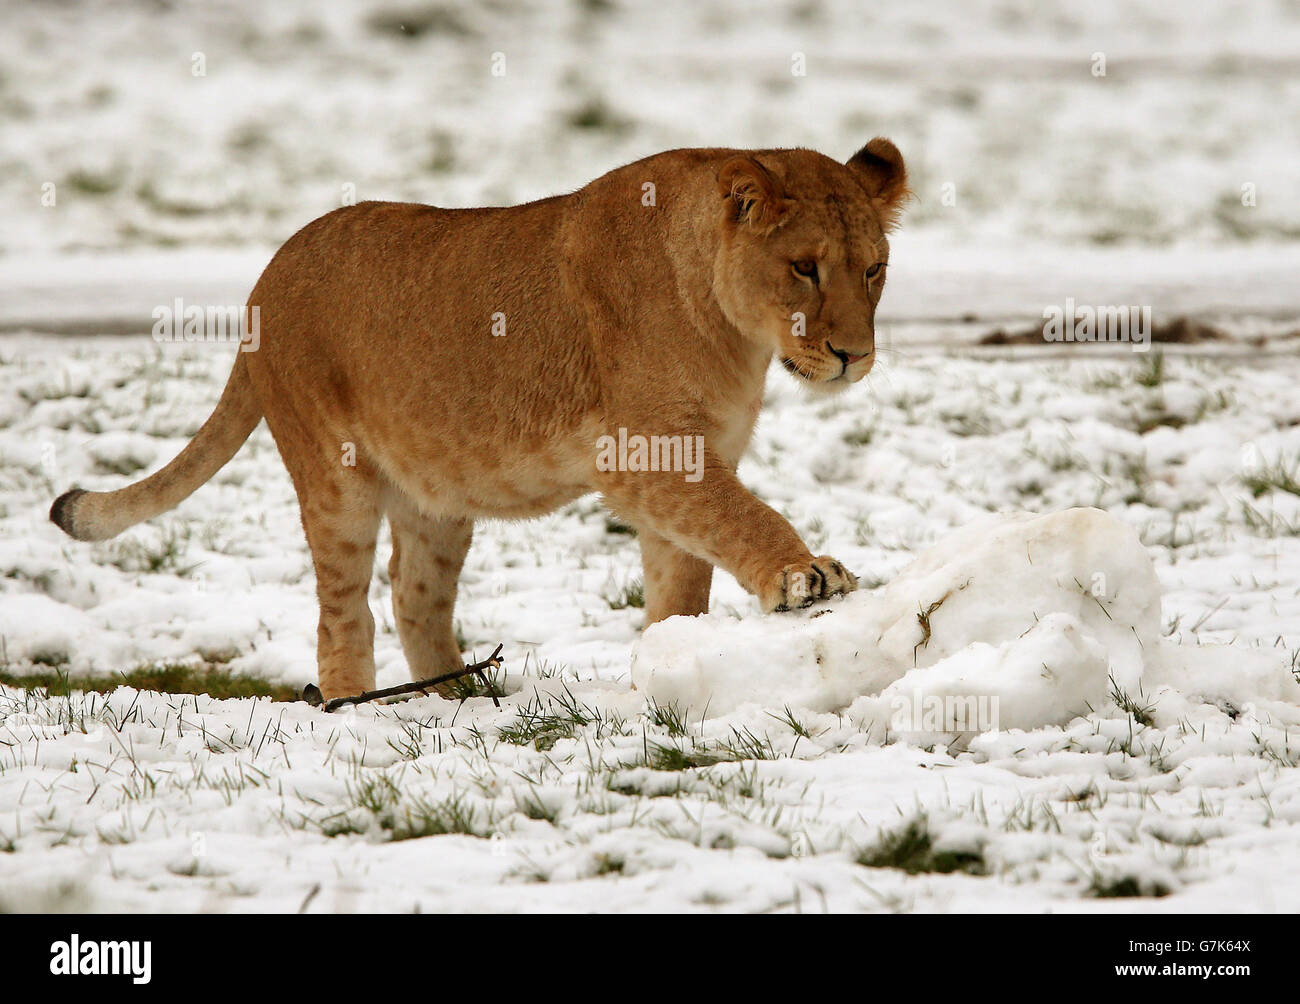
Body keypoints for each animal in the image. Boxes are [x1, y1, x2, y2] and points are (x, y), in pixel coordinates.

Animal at [50, 139, 910, 701]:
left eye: (874, 269)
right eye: (804, 267)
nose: (853, 355)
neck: (736, 333)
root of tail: (267, 273)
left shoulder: (689, 463)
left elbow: (684, 578)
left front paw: (672, 661)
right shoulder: (645, 455)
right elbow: (744, 516)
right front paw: (803, 576)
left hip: (434, 493)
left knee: (413, 596)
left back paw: (456, 699)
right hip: (334, 477)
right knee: (343, 613)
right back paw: (355, 710)